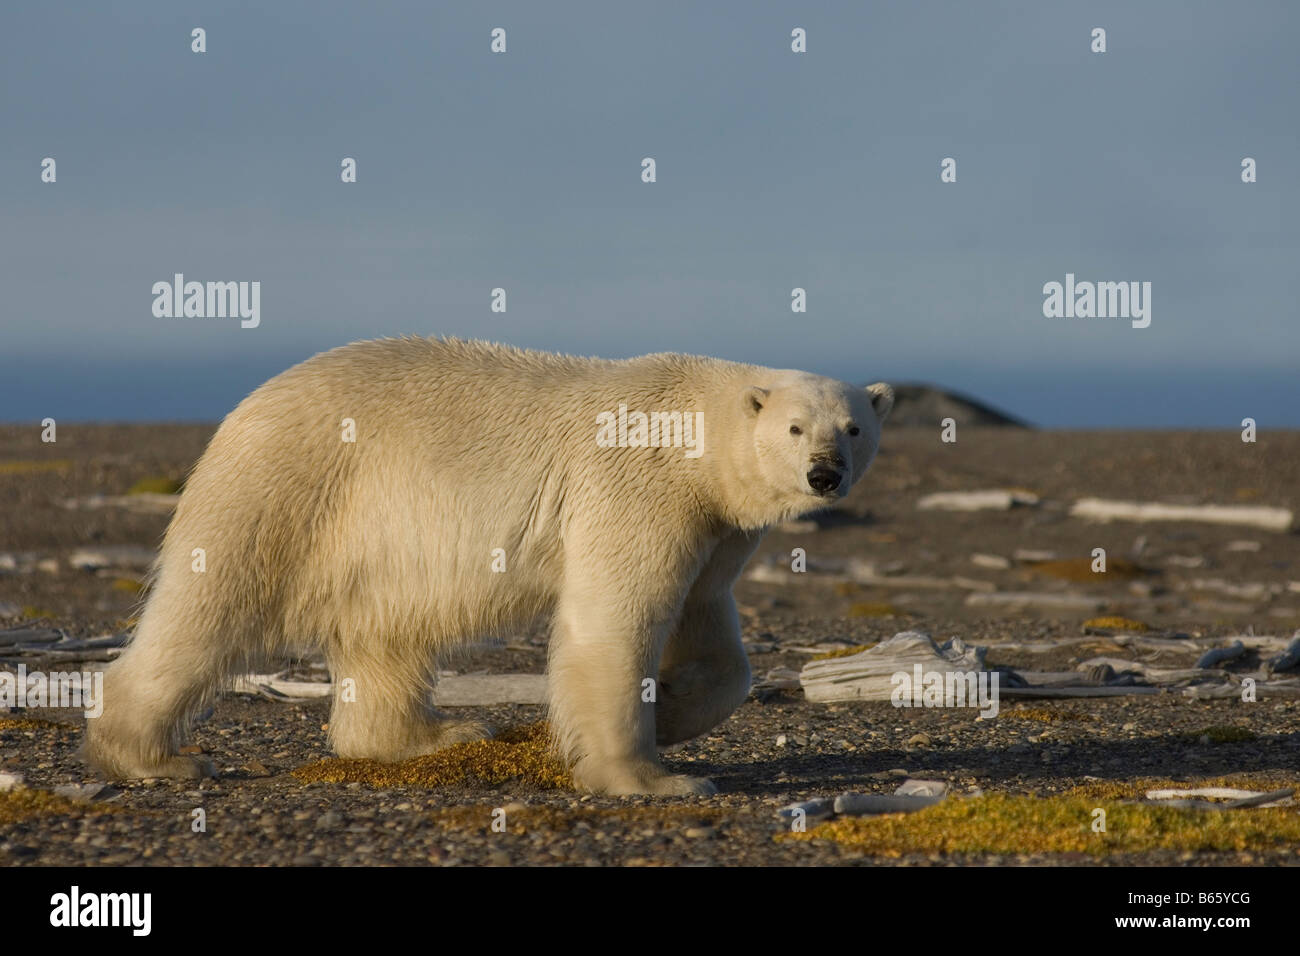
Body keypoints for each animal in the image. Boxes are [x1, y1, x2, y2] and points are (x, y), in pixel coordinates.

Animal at [84, 337, 893, 795]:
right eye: (795, 427)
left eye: (853, 426)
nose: (825, 474)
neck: (687, 429)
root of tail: (244, 409)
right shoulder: (636, 488)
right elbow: (614, 619)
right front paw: (652, 779)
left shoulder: (714, 527)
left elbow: (712, 633)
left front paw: (669, 713)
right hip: (290, 487)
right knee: (210, 606)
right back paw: (152, 759)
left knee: (388, 637)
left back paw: (438, 736)